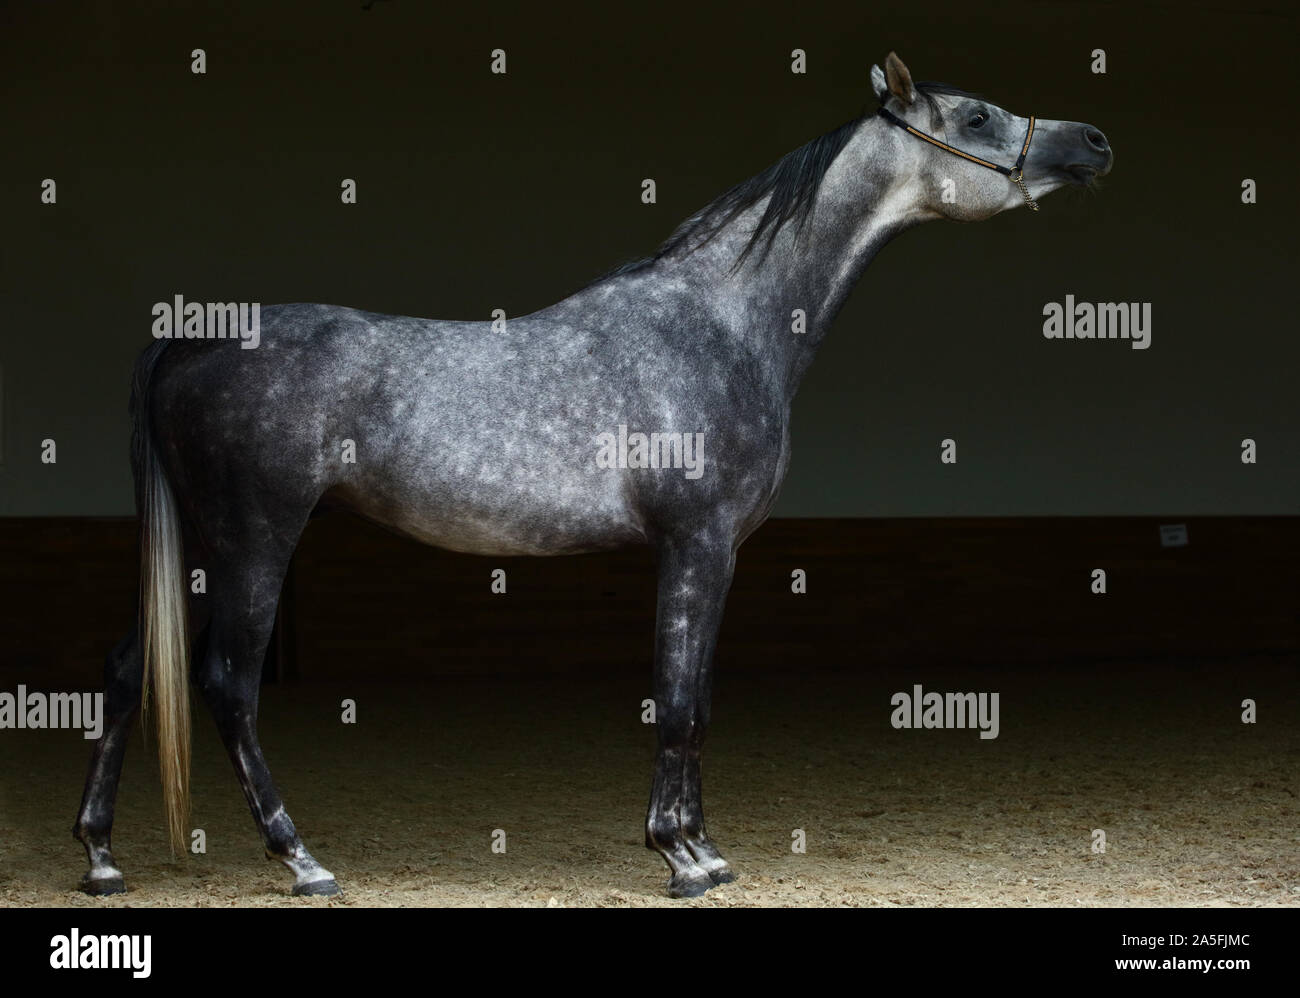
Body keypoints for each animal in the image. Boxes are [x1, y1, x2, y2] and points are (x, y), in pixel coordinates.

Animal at [73, 52, 1112, 899]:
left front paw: (707, 850)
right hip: (253, 540)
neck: (721, 326)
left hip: (200, 548)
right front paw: (681, 858)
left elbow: (698, 701)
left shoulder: (710, 554)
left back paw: (102, 859)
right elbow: (680, 701)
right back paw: (301, 860)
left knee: (128, 670)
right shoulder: (696, 546)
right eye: (974, 115)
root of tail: (186, 336)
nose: (1094, 142)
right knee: (226, 685)